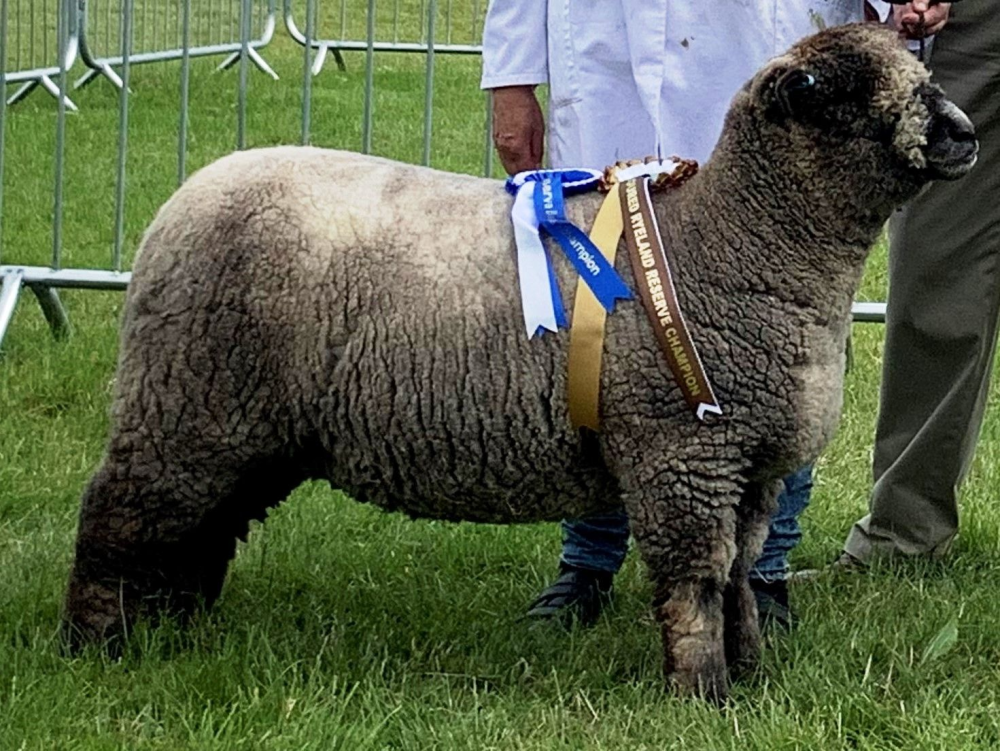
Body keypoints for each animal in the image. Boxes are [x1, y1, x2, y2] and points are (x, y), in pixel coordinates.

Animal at [63, 25, 977, 700]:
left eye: (917, 68)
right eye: (839, 88)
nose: (963, 133)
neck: (731, 241)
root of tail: (178, 204)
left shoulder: (748, 464)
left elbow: (741, 577)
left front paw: (750, 672)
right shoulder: (683, 452)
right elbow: (696, 579)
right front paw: (702, 691)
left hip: (243, 419)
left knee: (201, 524)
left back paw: (178, 629)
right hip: (188, 397)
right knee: (121, 511)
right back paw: (96, 644)